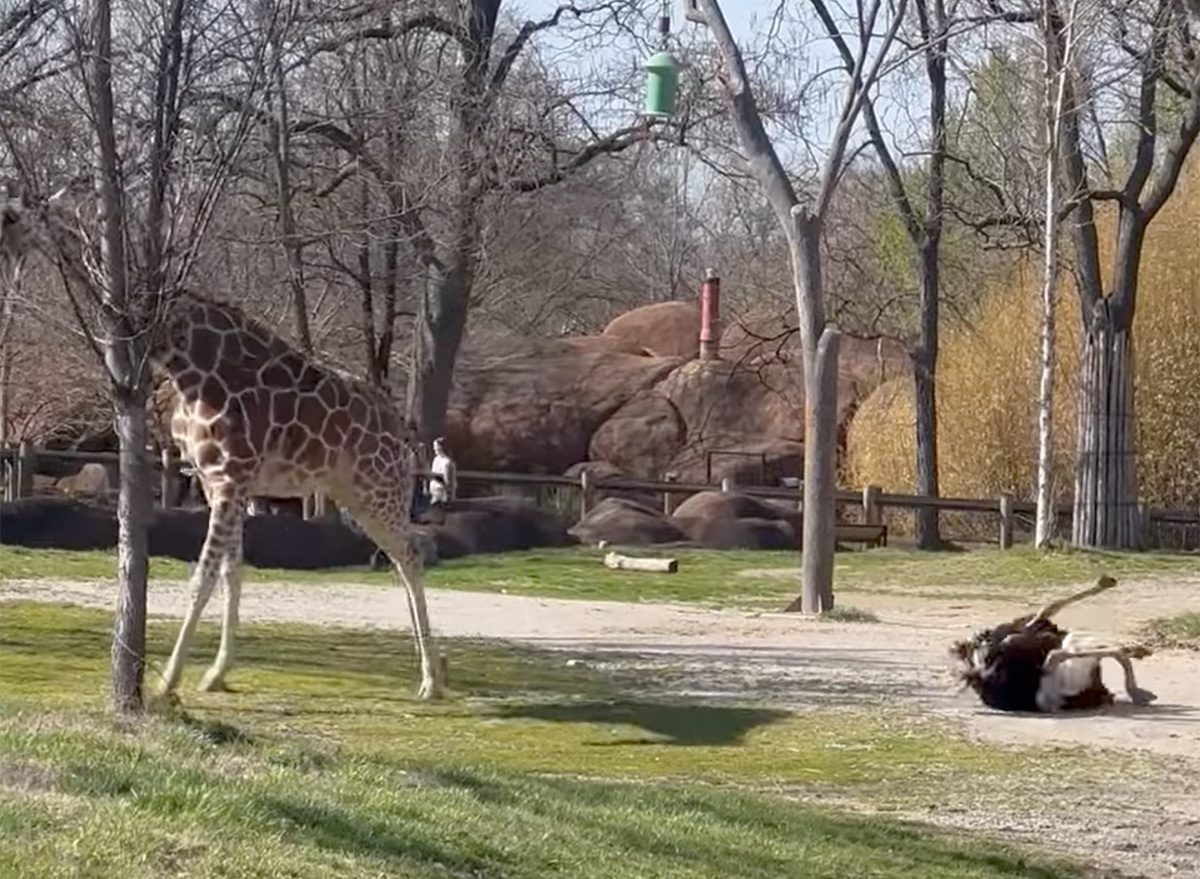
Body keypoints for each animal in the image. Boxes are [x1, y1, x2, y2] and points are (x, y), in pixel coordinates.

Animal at [0, 184, 445, 700]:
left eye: (12, 215)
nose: (4, 247)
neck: (180, 355)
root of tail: (401, 431)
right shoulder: (215, 481)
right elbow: (233, 570)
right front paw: (215, 672)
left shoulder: (231, 477)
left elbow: (202, 576)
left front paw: (166, 682)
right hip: (351, 491)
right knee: (402, 555)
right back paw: (427, 670)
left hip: (377, 486)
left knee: (411, 552)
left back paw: (431, 680)